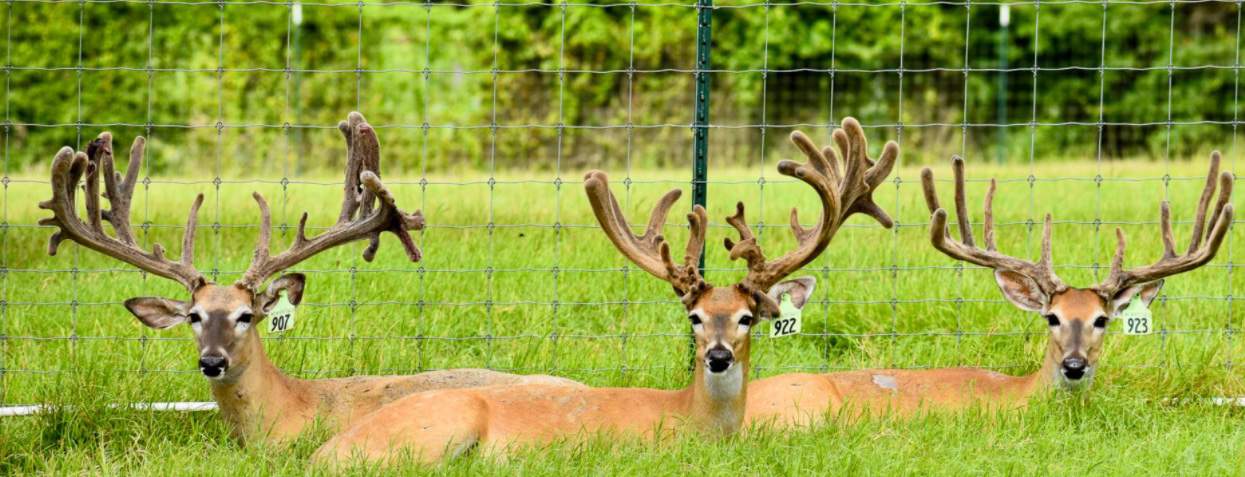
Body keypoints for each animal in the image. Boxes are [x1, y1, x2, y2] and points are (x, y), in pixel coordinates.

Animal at [309, 117, 898, 466]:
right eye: (694, 317)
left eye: (747, 317)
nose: (718, 357)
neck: (694, 423)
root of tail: (324, 454)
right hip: (440, 428)